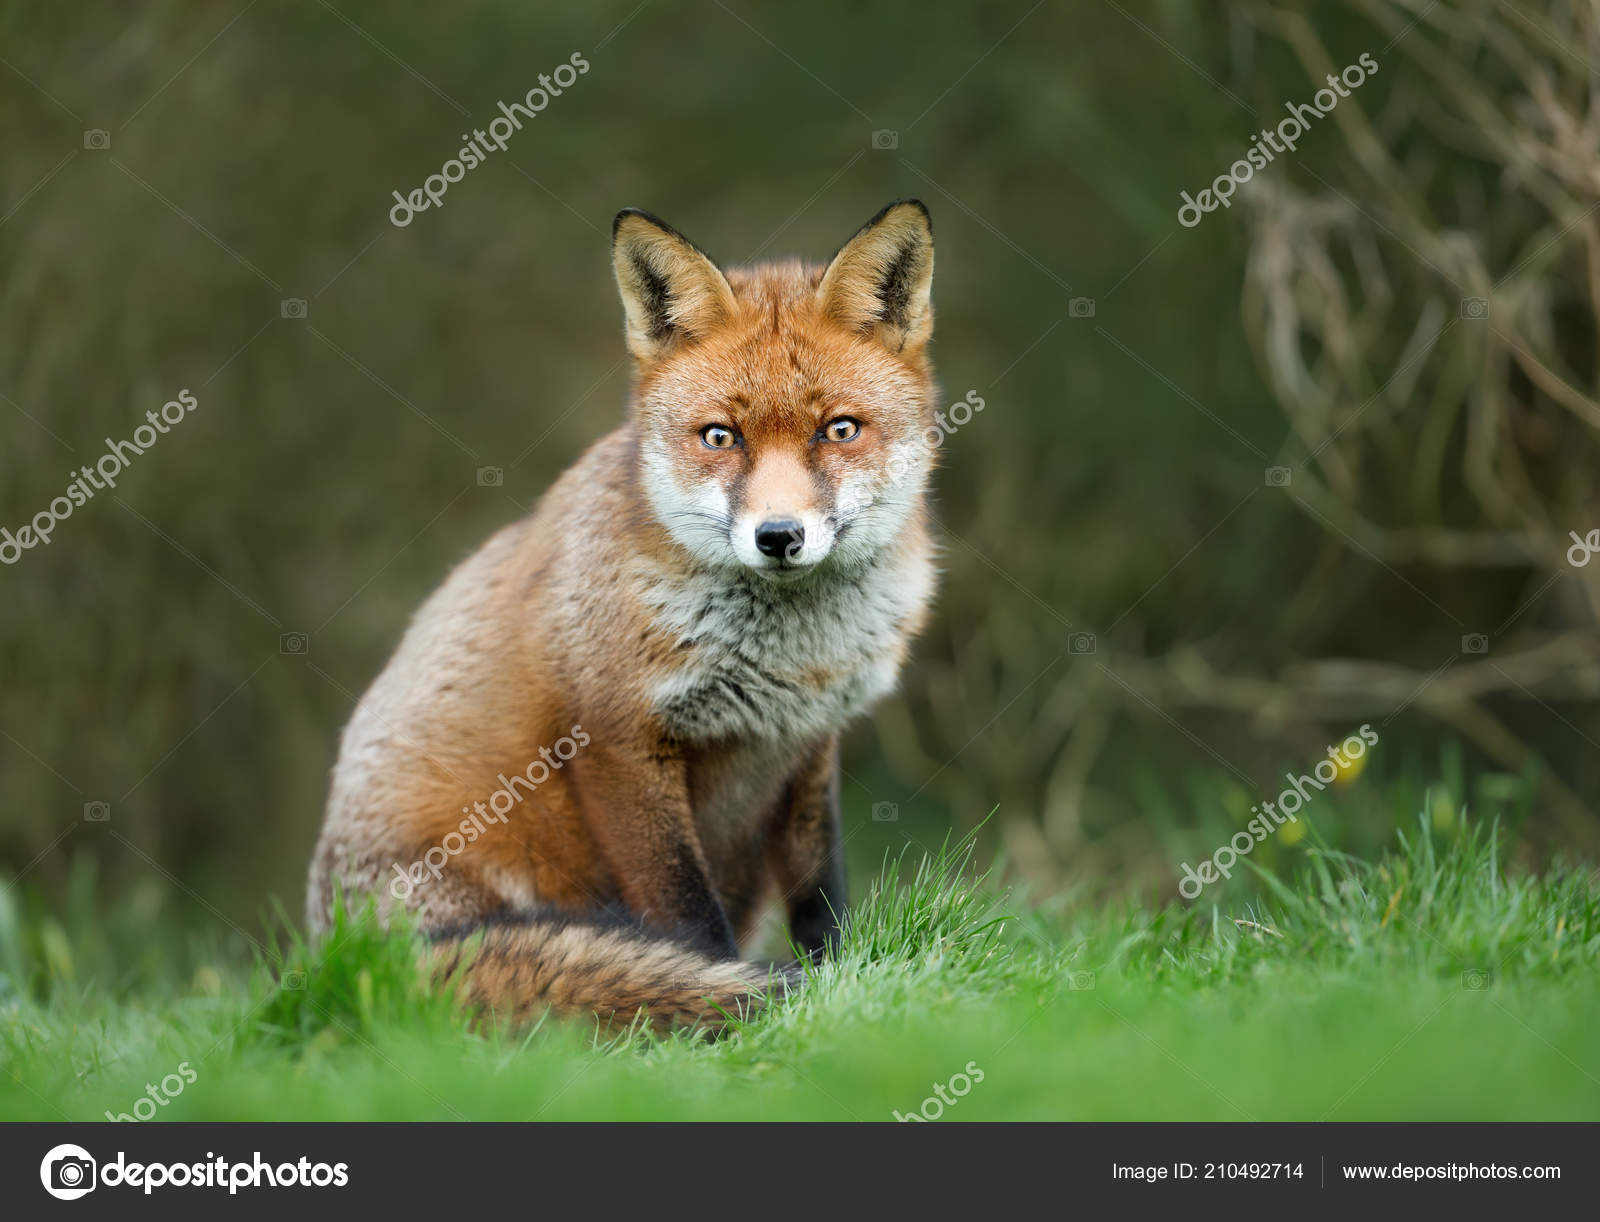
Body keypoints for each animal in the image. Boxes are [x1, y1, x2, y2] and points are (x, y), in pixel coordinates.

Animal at [306, 199, 940, 1033]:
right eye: (719, 437)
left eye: (839, 429)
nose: (779, 536)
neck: (790, 655)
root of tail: (329, 959)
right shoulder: (615, 742)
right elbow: (687, 919)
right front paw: (731, 996)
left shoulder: (809, 745)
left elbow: (821, 897)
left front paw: (840, 983)